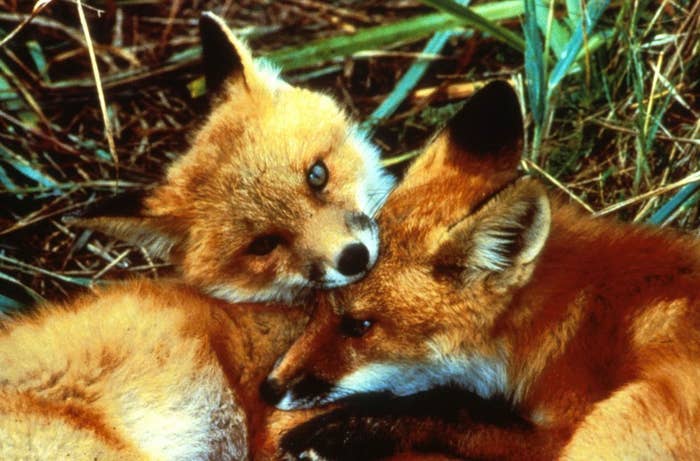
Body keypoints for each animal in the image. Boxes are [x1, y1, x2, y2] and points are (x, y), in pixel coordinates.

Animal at [262, 80, 700, 460]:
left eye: (359, 326)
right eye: (319, 306)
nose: (270, 389)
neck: (575, 316)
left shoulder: (556, 436)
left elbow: (450, 405)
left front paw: (342, 431)